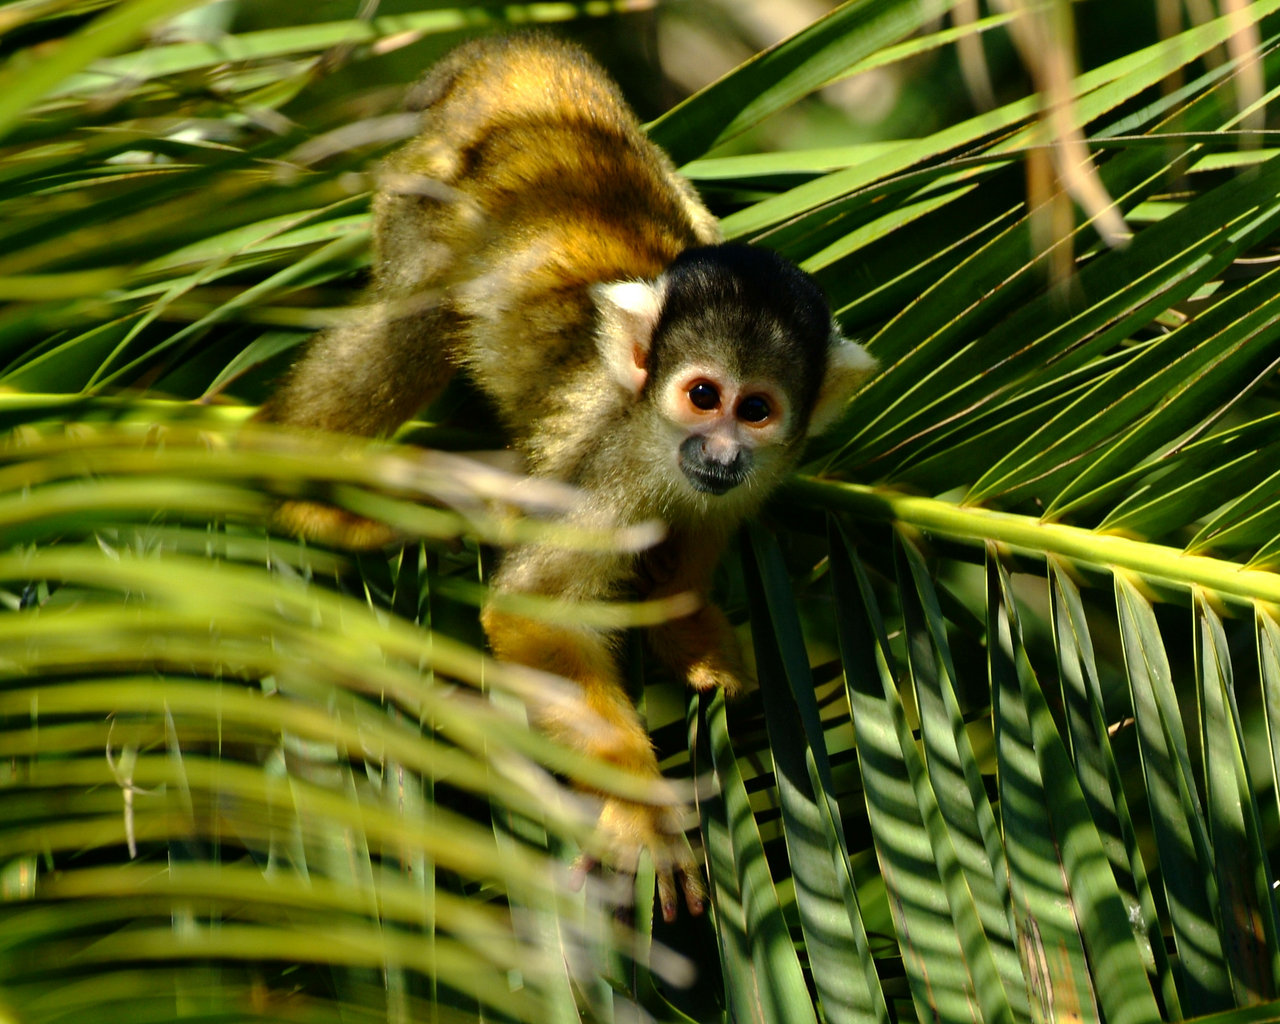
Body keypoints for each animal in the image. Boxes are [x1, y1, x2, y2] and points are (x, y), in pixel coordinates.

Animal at [258, 33, 875, 921]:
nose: (722, 451)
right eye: (703, 396)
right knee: (423, 312)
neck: (655, 439)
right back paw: (306, 491)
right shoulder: (605, 468)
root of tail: (521, 64)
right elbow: (535, 610)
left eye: (756, 410)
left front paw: (686, 627)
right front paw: (642, 813)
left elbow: (708, 525)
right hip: (422, 195)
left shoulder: (758, 477)